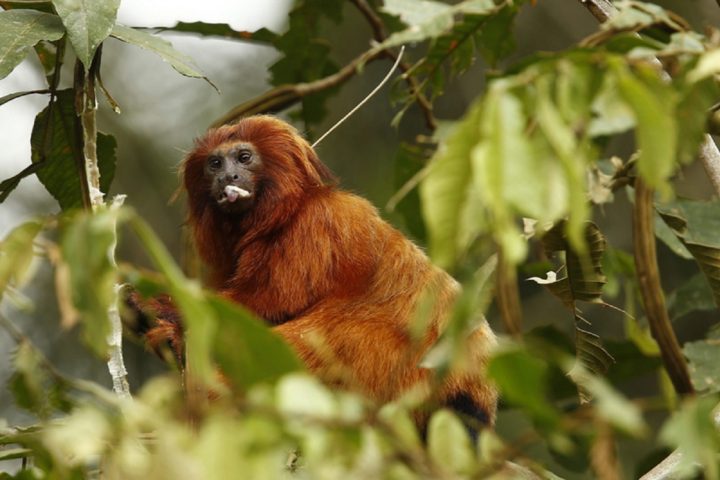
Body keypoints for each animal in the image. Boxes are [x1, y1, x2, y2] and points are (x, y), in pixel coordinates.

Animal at [143, 115, 498, 430]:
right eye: (214, 164)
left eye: (243, 158)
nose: (227, 177)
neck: (280, 214)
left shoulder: (312, 229)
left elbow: (268, 303)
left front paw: (163, 312)